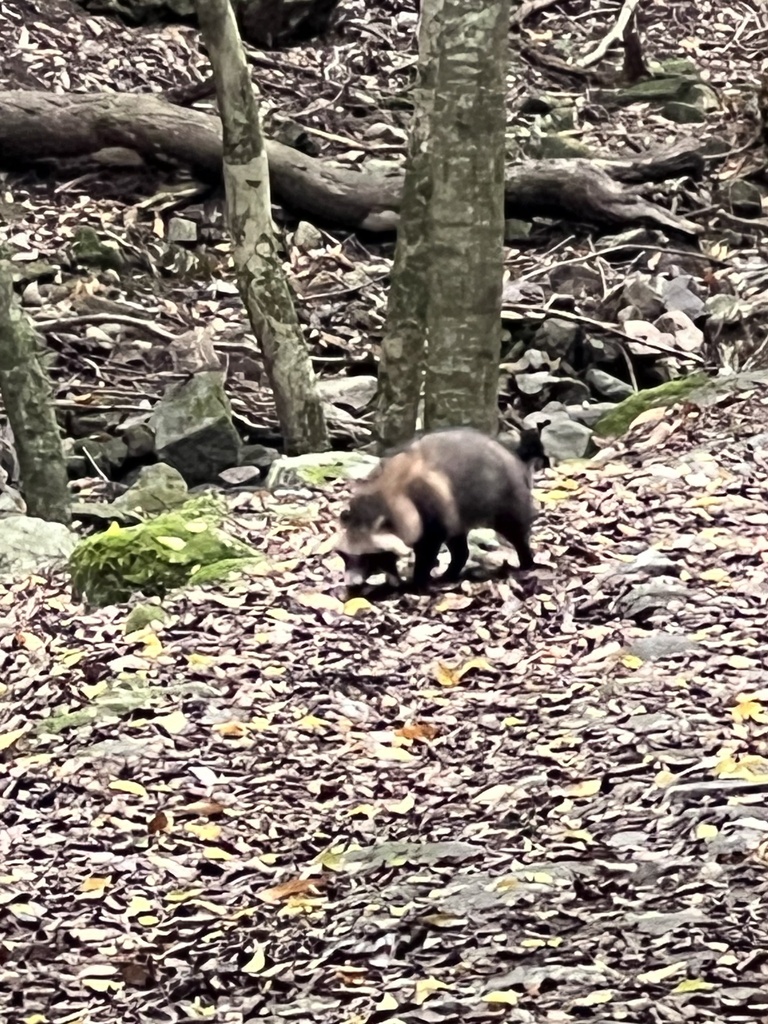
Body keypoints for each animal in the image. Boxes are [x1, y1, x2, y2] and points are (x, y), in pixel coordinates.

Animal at [336, 427, 544, 590]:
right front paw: (393, 577)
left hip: (507, 498)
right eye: (344, 555)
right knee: (459, 546)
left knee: (516, 531)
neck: (381, 499)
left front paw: (417, 580)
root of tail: (515, 459)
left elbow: (427, 550)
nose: (351, 584)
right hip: (457, 514)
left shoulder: (430, 511)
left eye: (366, 557)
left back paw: (526, 559)